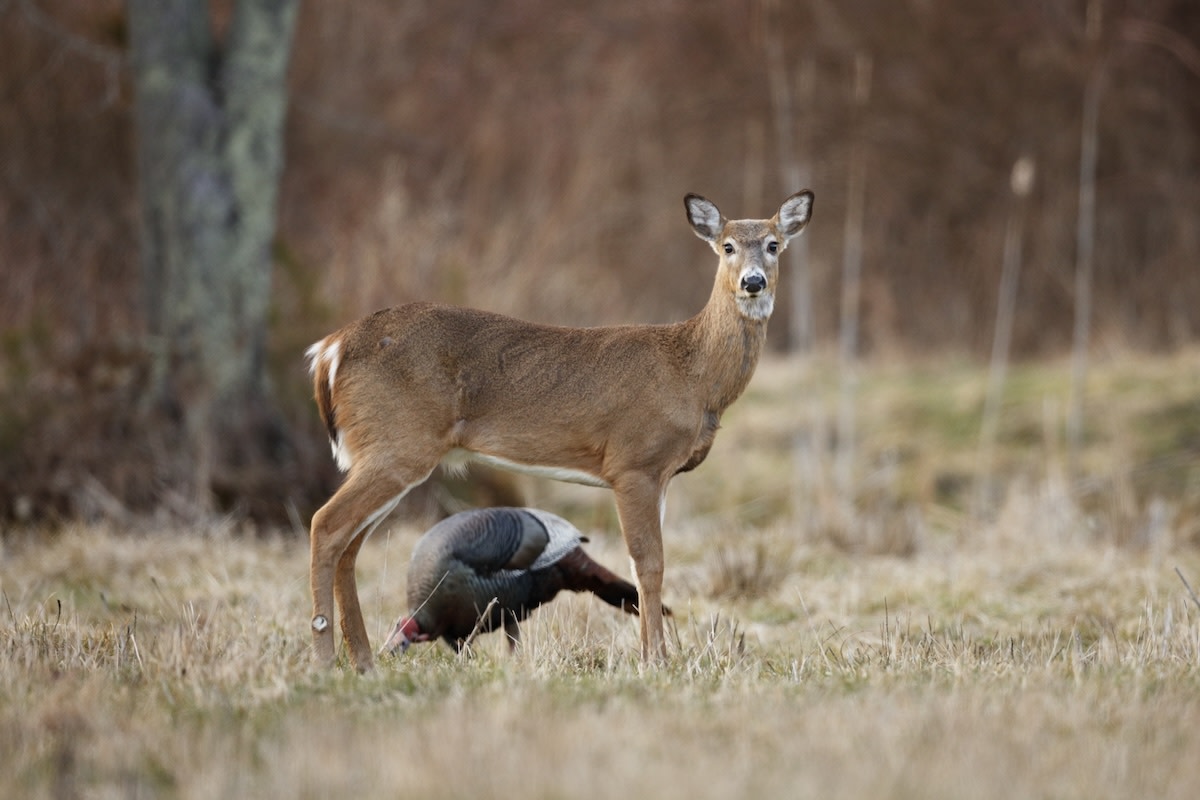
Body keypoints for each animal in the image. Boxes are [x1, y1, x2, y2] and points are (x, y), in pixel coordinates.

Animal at [305, 190, 814, 671]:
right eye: (727, 246)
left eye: (773, 244)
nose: (753, 281)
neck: (692, 372)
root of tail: (330, 349)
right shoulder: (634, 462)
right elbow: (649, 563)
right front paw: (656, 661)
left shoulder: (661, 475)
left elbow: (640, 565)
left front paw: (652, 655)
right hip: (397, 444)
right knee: (325, 524)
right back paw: (326, 661)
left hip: (385, 450)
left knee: (349, 546)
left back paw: (363, 661)